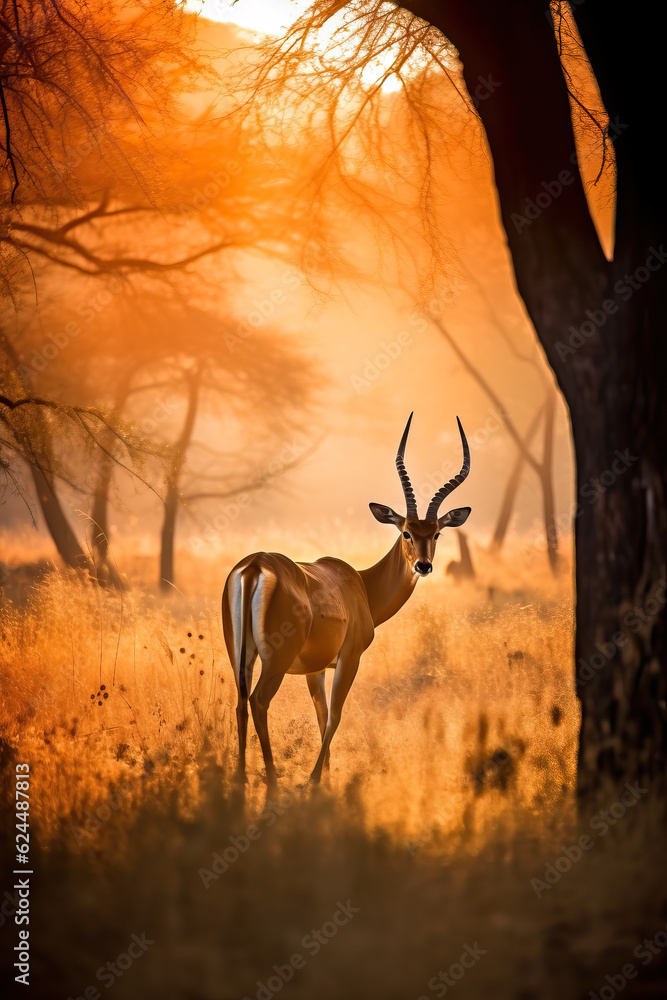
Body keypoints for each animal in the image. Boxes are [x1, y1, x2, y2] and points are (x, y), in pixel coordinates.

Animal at [222, 413, 471, 784]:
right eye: (406, 532)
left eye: (437, 533)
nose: (423, 565)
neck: (361, 586)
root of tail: (255, 566)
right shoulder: (349, 658)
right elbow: (335, 716)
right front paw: (314, 780)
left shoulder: (315, 670)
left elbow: (322, 714)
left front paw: (324, 776)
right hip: (276, 661)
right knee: (259, 701)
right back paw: (273, 779)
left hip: (241, 655)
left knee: (240, 701)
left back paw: (240, 778)